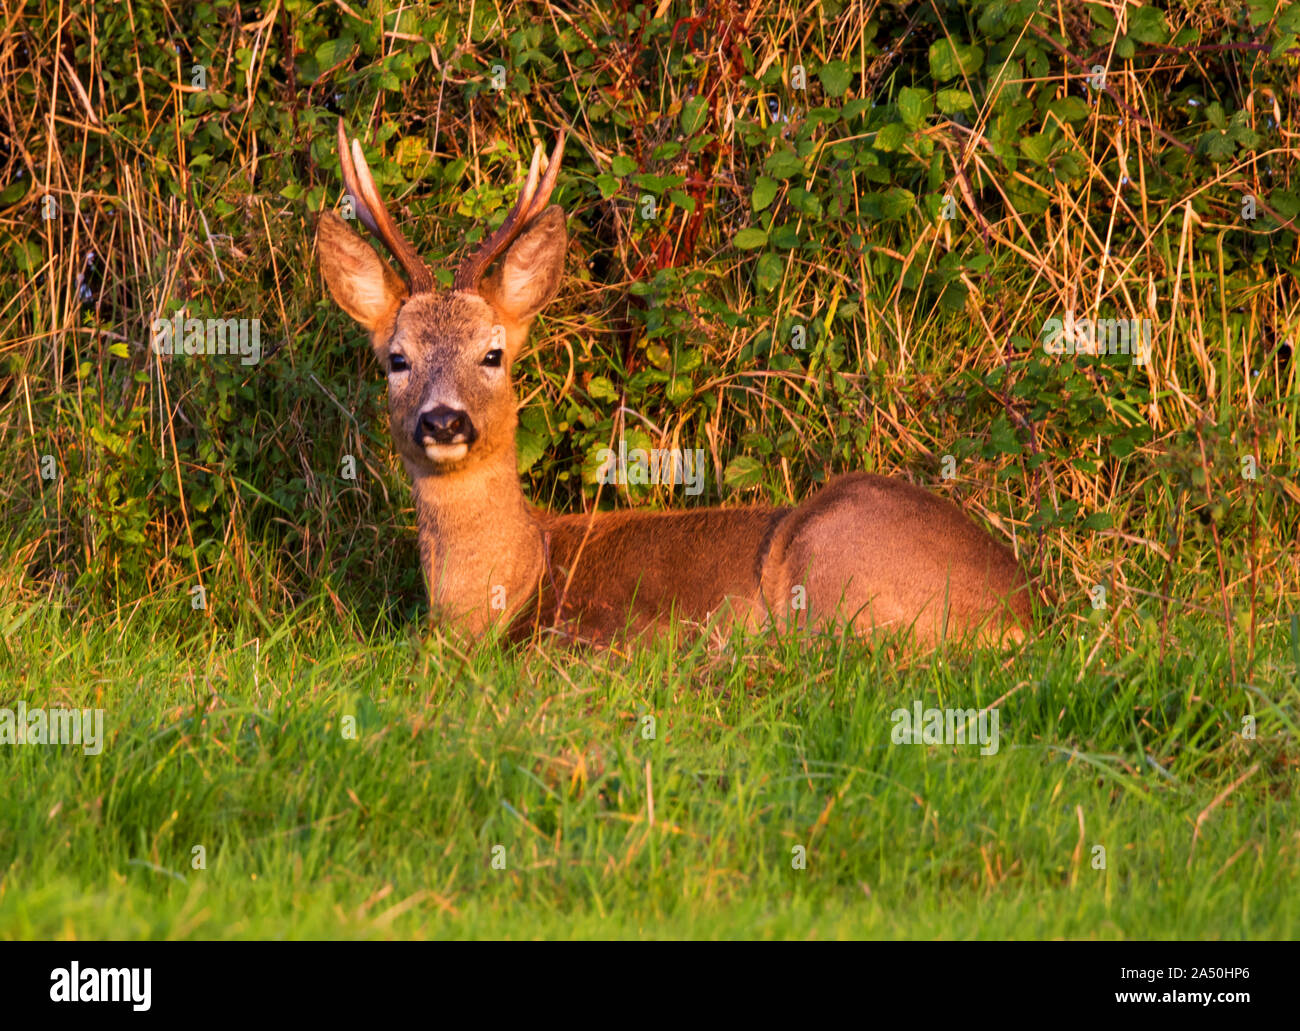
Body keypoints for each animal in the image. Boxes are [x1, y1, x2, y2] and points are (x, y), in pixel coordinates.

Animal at [316, 120, 1035, 649]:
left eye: (493, 353)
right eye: (397, 359)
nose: (444, 421)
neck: (505, 590)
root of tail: (1020, 615)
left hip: (830, 557)